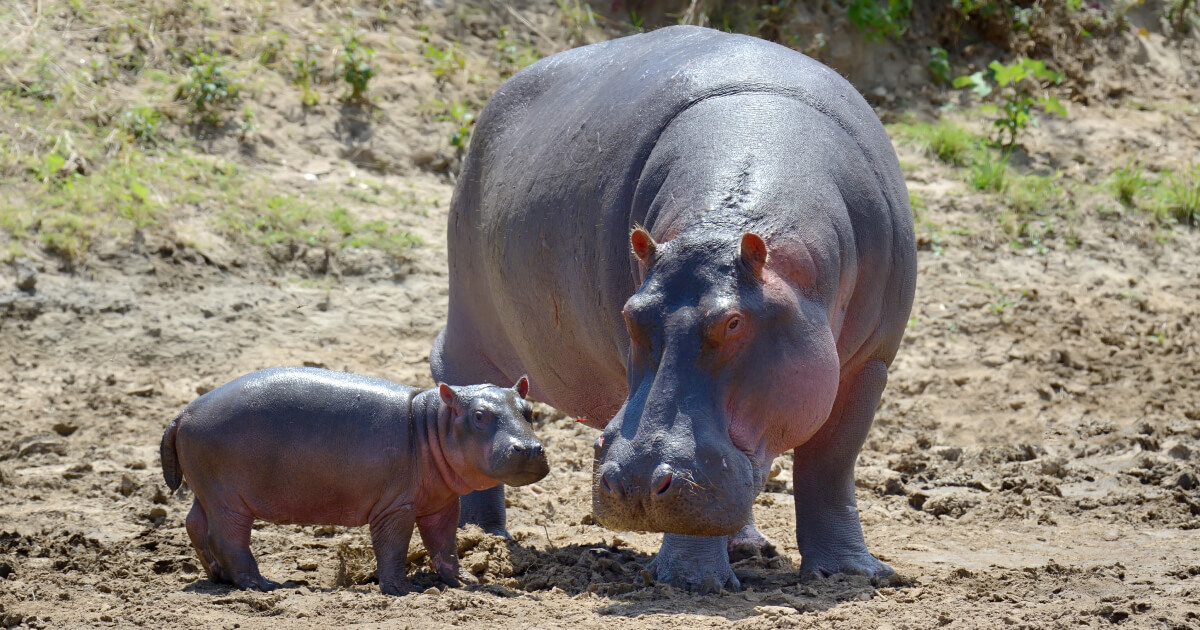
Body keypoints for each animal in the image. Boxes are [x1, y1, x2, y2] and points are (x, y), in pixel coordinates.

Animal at [159, 367, 548, 595]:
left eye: (530, 411)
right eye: (480, 415)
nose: (530, 449)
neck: (430, 424)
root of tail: (184, 412)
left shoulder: (441, 503)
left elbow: (444, 545)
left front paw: (466, 581)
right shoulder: (396, 506)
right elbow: (393, 546)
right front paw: (401, 590)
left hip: (207, 490)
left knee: (195, 524)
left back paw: (218, 577)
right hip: (228, 498)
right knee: (227, 537)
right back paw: (263, 584)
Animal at [431, 25, 916, 590]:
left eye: (734, 322)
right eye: (631, 314)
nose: (637, 484)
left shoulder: (869, 365)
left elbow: (831, 466)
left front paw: (855, 574)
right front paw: (691, 581)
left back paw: (747, 546)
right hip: (470, 324)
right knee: (466, 388)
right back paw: (482, 538)